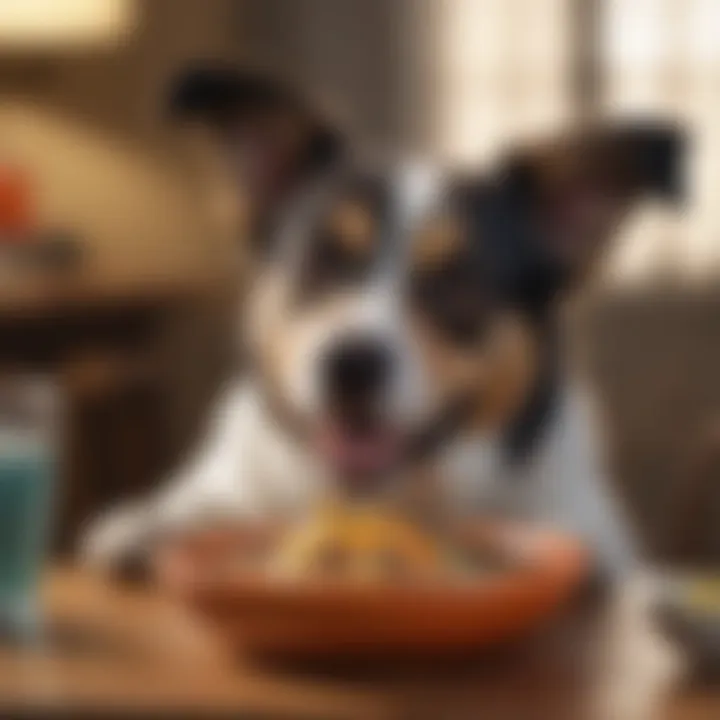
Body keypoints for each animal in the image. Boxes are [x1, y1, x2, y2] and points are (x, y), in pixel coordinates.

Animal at [81, 63, 684, 580]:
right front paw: (151, 526)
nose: (350, 366)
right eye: (322, 259)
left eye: (457, 281)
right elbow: (202, 502)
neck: (388, 500)